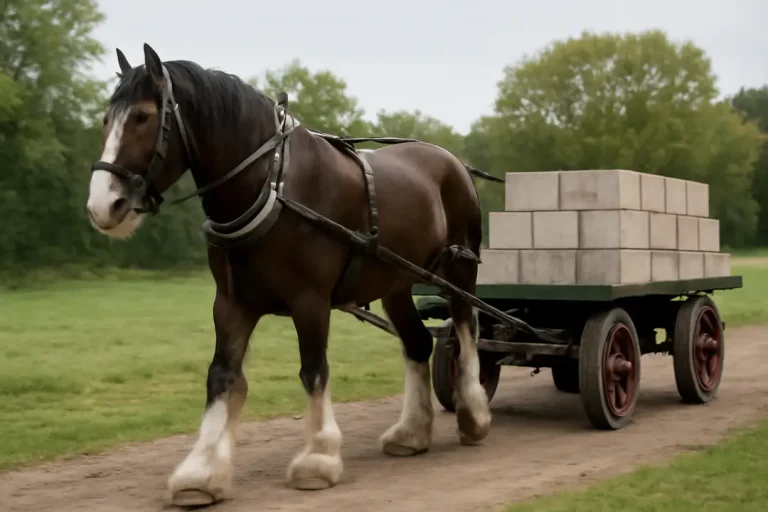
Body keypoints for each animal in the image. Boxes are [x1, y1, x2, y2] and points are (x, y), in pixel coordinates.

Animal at [85, 43, 496, 507]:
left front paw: (318, 458)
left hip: (459, 269)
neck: (272, 184)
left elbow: (313, 370)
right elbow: (221, 376)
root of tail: (454, 161)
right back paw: (411, 432)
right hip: (396, 282)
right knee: (418, 343)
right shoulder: (231, 304)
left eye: (142, 116)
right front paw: (202, 471)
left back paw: (473, 415)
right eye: (106, 119)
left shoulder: (310, 300)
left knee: (465, 329)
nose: (103, 206)